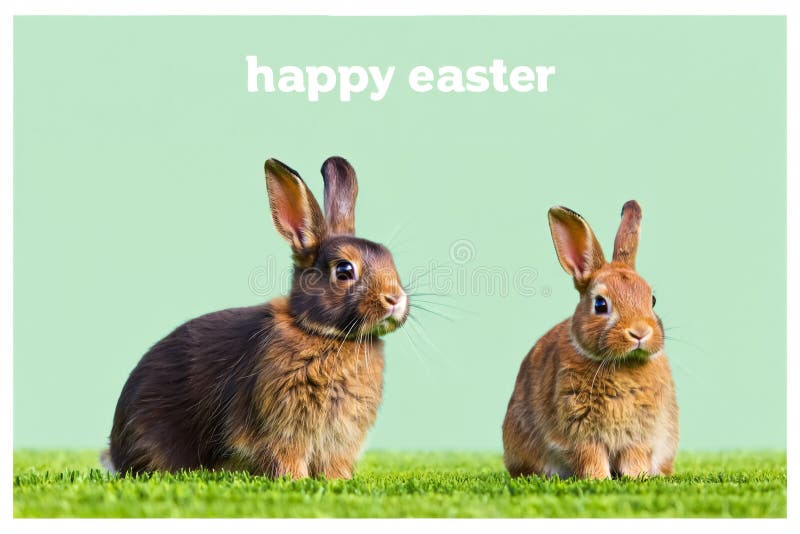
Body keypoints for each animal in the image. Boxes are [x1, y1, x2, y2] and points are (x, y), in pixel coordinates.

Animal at [103, 156, 408, 479]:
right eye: (344, 270)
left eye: (390, 260)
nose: (395, 299)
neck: (322, 333)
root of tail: (117, 450)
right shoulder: (280, 430)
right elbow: (285, 458)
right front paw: (296, 481)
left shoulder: (337, 442)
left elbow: (332, 466)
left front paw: (336, 482)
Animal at [502, 201, 678, 480]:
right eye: (600, 304)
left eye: (652, 300)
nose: (640, 332)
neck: (621, 364)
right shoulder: (579, 432)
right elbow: (590, 456)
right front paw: (600, 479)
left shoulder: (640, 436)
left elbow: (635, 457)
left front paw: (637, 478)